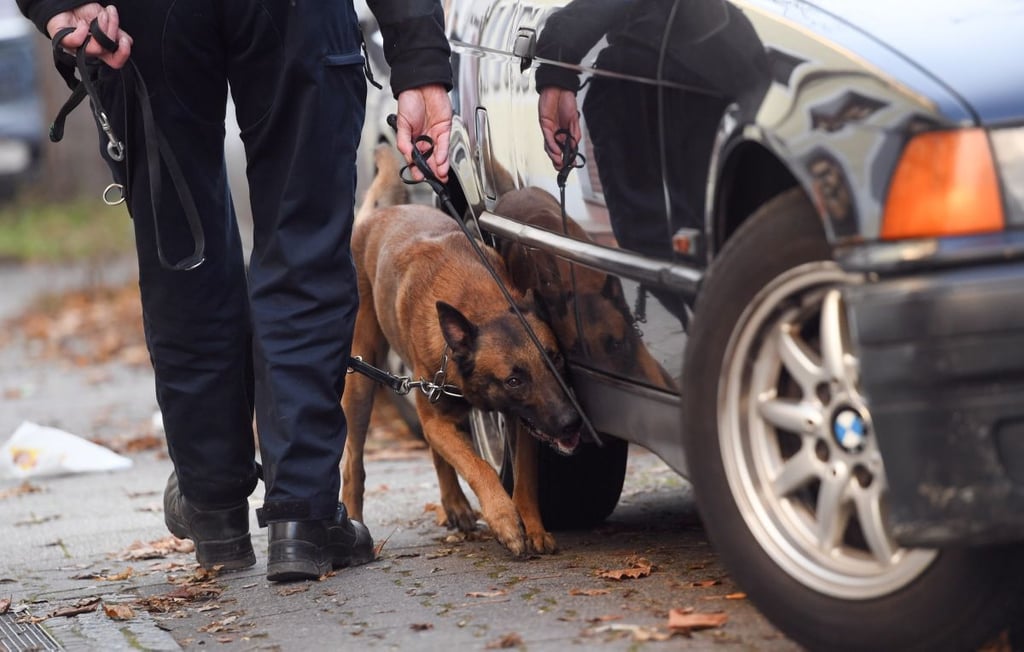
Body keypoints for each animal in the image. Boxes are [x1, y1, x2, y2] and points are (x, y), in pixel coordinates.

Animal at [337, 146, 577, 552]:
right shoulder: (440, 418)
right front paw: (504, 519)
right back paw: (354, 524)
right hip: (362, 379)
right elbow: (479, 466)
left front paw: (533, 526)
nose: (571, 422)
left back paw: (455, 505)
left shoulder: (520, 421)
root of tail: (374, 216)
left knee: (436, 456)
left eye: (556, 359)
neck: (481, 305)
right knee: (353, 461)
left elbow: (524, 480)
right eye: (514, 380)